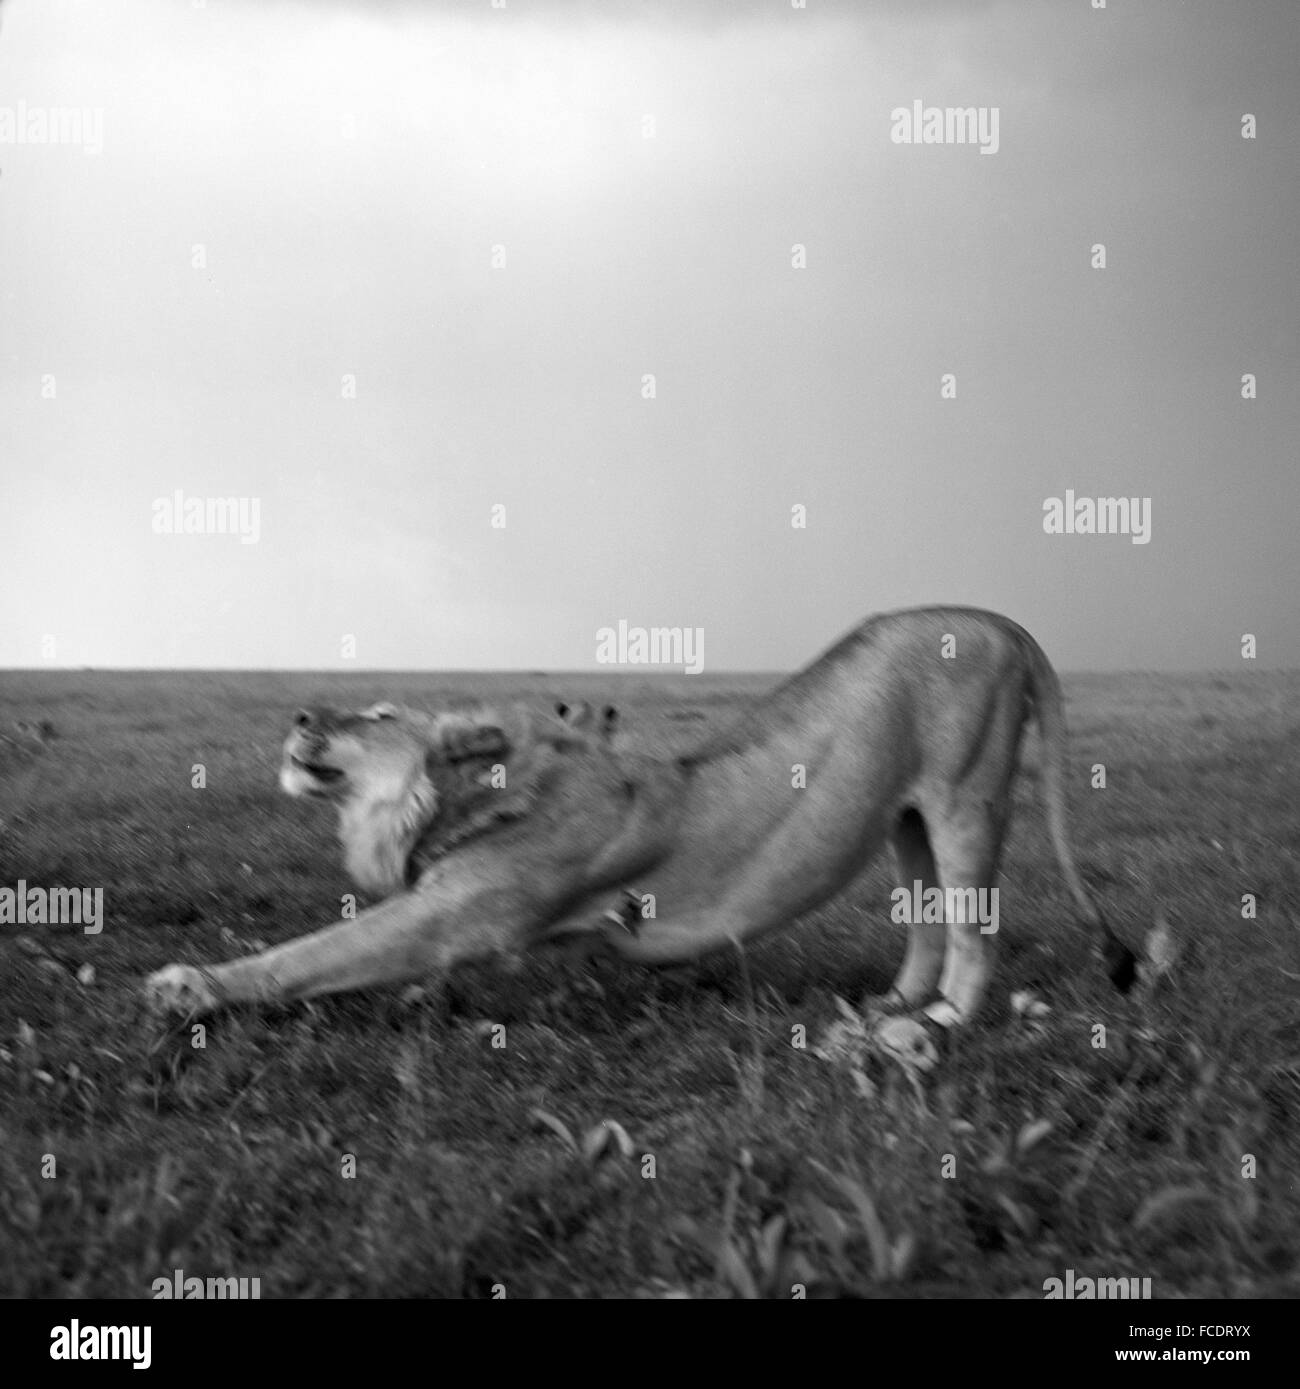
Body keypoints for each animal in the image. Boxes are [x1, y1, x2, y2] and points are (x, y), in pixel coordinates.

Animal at [144, 607, 1136, 1045]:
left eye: (381, 714)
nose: (302, 714)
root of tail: (995, 618)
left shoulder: (466, 911)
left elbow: (311, 954)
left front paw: (191, 986)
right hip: (906, 820)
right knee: (926, 915)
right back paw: (892, 1002)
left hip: (968, 795)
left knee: (973, 927)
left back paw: (941, 1021)